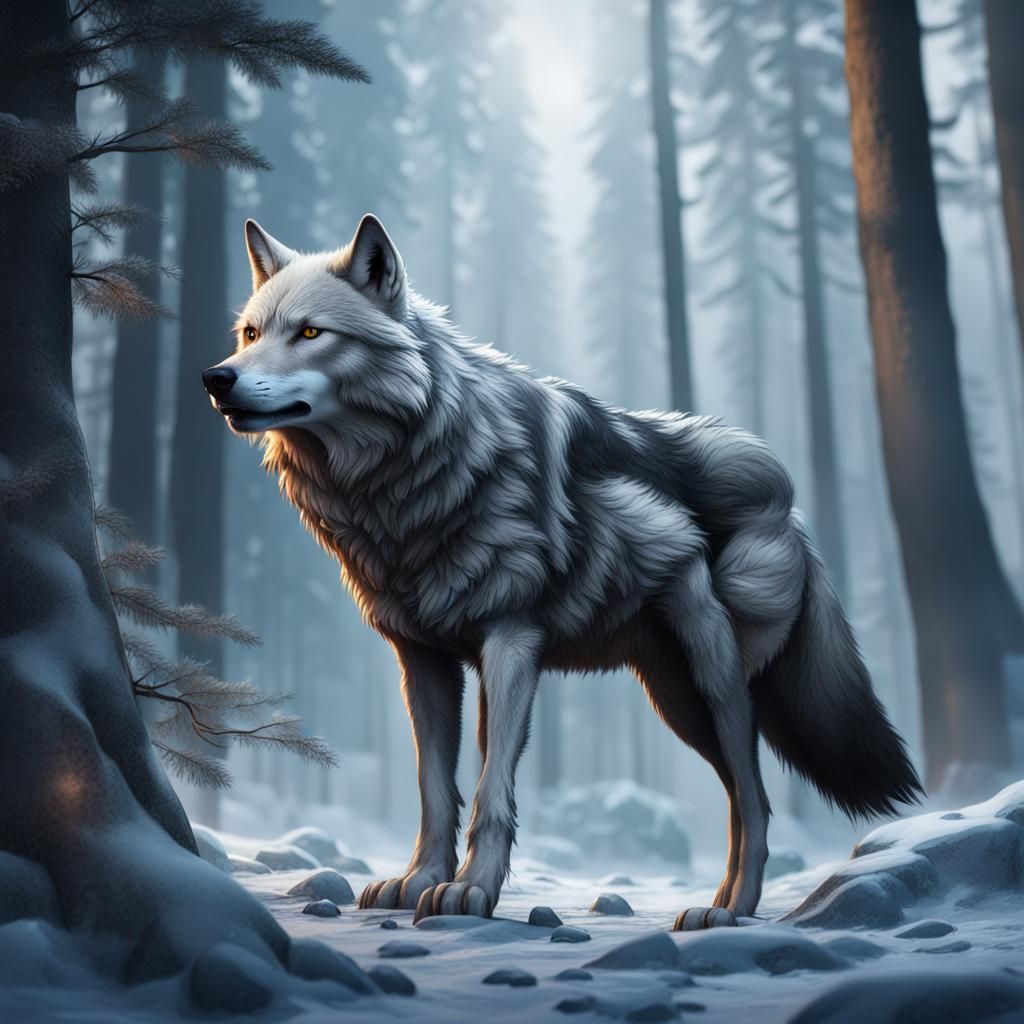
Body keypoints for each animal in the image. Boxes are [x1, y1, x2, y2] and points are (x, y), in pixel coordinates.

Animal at [203, 214, 923, 928]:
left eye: (310, 333)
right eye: (250, 334)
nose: (216, 378)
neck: (409, 479)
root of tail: (788, 498)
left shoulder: (511, 640)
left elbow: (490, 792)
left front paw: (469, 892)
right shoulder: (423, 659)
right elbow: (434, 789)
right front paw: (419, 880)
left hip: (715, 681)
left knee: (755, 798)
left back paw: (730, 912)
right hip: (678, 701)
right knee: (744, 799)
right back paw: (721, 902)